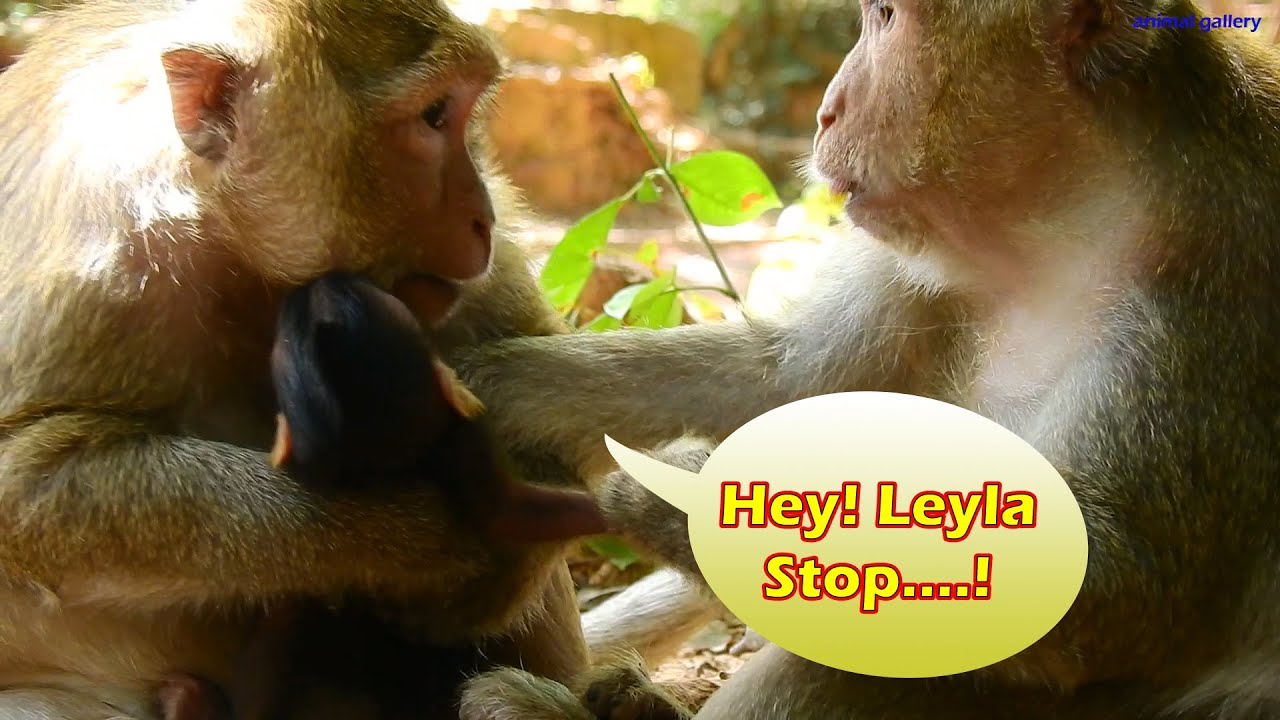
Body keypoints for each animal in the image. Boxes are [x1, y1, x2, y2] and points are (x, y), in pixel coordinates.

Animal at [0, 1, 597, 718]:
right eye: (433, 116)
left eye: (461, 114)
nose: (483, 217)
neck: (230, 246)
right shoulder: (103, 271)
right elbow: (30, 487)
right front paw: (425, 539)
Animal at [444, 0, 1280, 718]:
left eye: (886, 17)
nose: (827, 110)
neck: (1069, 220)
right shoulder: (922, 260)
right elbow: (791, 379)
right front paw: (476, 378)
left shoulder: (1198, 303)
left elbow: (1111, 595)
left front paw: (693, 498)